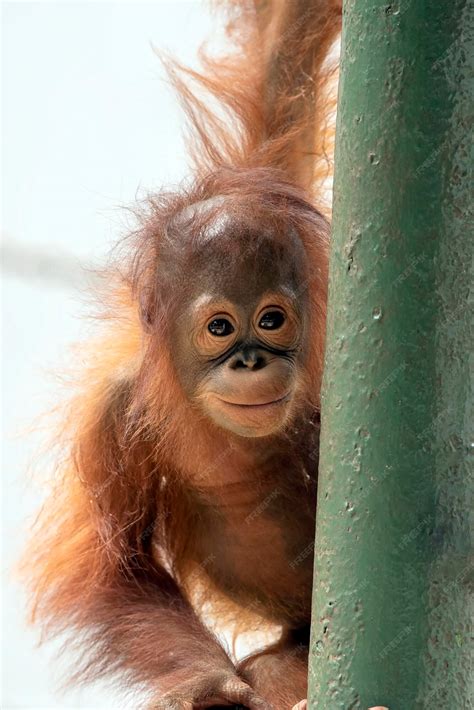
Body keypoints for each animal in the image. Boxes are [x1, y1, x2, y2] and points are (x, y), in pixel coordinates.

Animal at [23, 1, 342, 708]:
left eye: (271, 319)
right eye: (220, 328)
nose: (250, 361)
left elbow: (285, 70)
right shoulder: (113, 417)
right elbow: (123, 570)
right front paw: (209, 685)